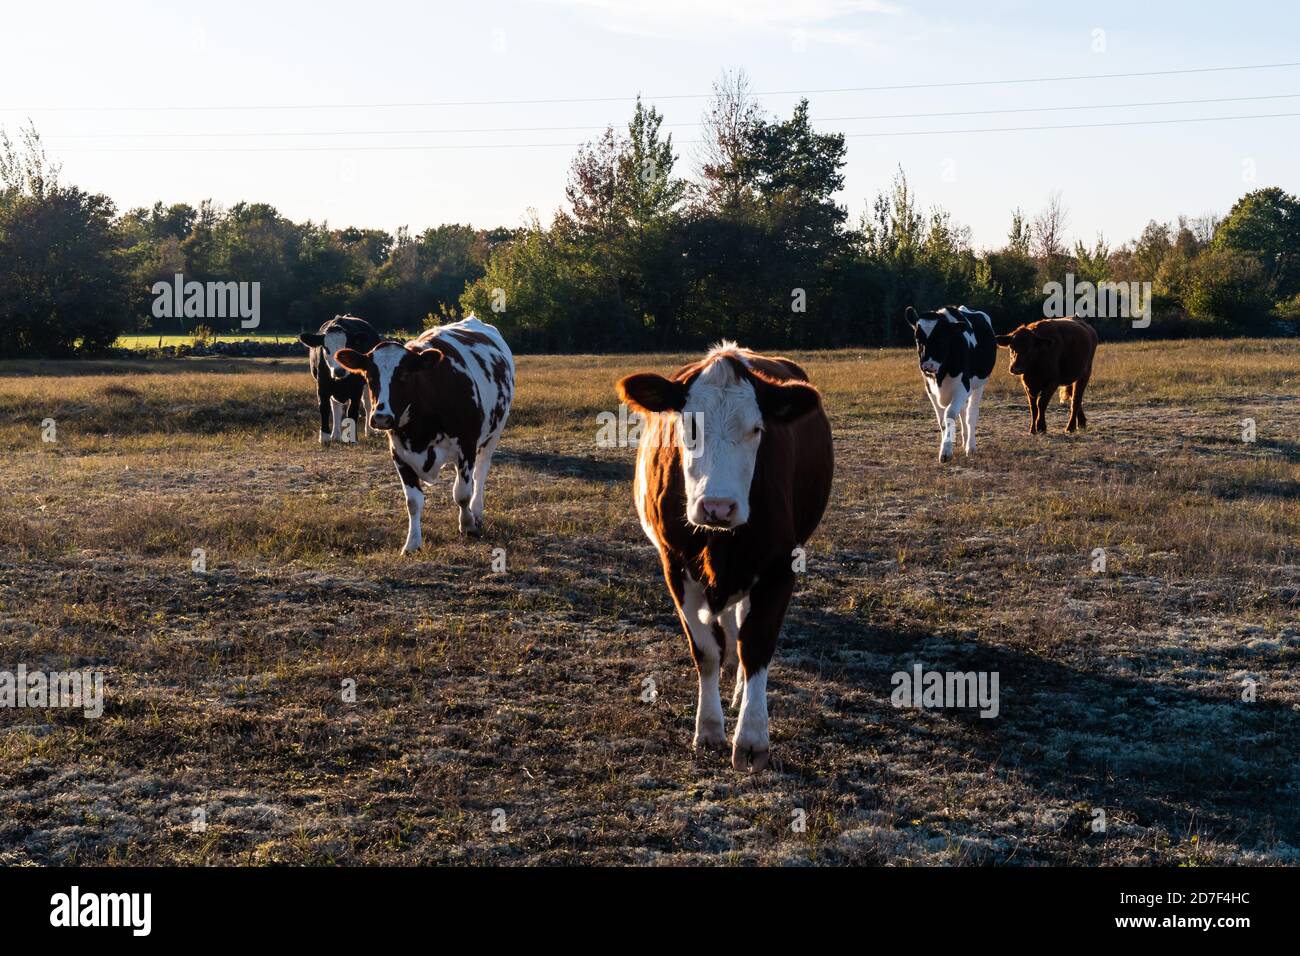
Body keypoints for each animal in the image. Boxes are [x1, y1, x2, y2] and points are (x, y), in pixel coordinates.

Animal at [299, 315, 382, 444]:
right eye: (326, 348)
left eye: (347, 347)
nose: (339, 371)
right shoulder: (322, 386)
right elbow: (325, 408)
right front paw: (324, 437)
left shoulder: (356, 389)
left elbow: (352, 411)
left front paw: (352, 438)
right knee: (336, 407)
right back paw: (335, 435)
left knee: (368, 405)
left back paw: (370, 431)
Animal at [335, 316, 514, 552]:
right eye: (369, 376)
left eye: (404, 375)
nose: (381, 417)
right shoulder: (399, 453)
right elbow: (413, 501)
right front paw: (412, 542)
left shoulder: (466, 446)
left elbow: (462, 494)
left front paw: (468, 525)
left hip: (493, 435)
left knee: (479, 475)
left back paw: (477, 512)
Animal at [616, 342, 832, 773]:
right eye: (688, 425)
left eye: (757, 429)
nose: (718, 507)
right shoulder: (674, 564)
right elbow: (705, 650)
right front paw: (710, 728)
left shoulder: (779, 567)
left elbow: (757, 645)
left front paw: (751, 738)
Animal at [905, 304, 997, 462]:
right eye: (917, 339)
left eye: (942, 339)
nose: (927, 366)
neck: (940, 375)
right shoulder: (930, 389)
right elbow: (942, 421)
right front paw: (946, 445)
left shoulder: (963, 386)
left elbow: (950, 414)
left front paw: (946, 451)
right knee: (963, 412)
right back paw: (965, 441)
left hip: (979, 385)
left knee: (971, 414)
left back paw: (970, 446)